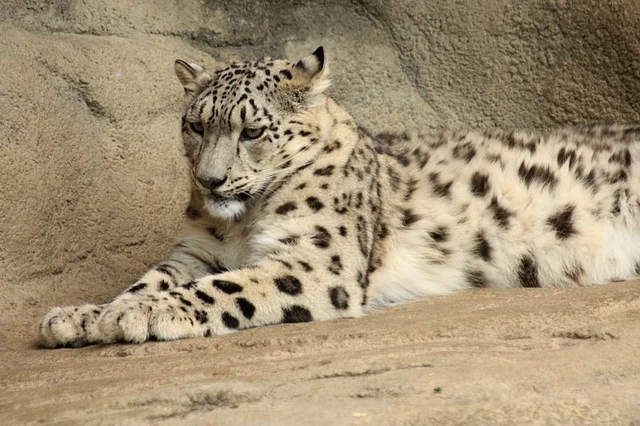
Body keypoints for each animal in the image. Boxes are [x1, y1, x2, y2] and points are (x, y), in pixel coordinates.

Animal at [38, 46, 640, 348]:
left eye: (251, 131)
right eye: (195, 125)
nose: (210, 181)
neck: (238, 226)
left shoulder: (314, 260)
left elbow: (222, 288)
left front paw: (139, 315)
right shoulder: (194, 251)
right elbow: (148, 279)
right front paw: (82, 316)